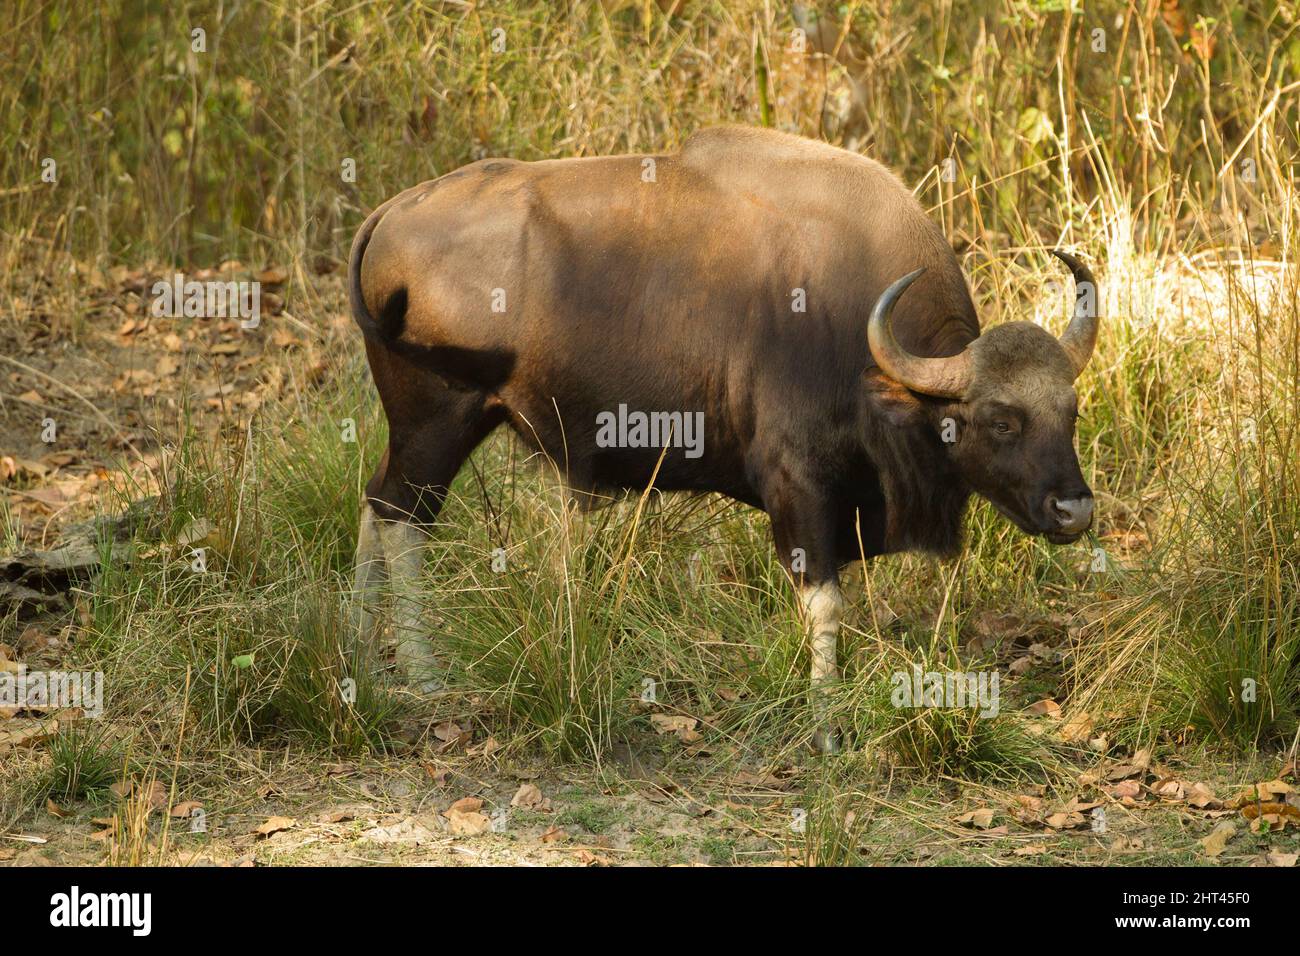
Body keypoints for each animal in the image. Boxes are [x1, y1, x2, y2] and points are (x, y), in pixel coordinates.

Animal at [347, 126, 1099, 753]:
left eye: (1071, 413)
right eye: (1000, 419)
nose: (1074, 510)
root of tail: (395, 211)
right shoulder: (799, 488)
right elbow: (825, 605)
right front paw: (826, 726)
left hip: (420, 426)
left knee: (376, 503)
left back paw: (358, 652)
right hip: (437, 418)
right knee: (404, 518)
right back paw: (423, 675)